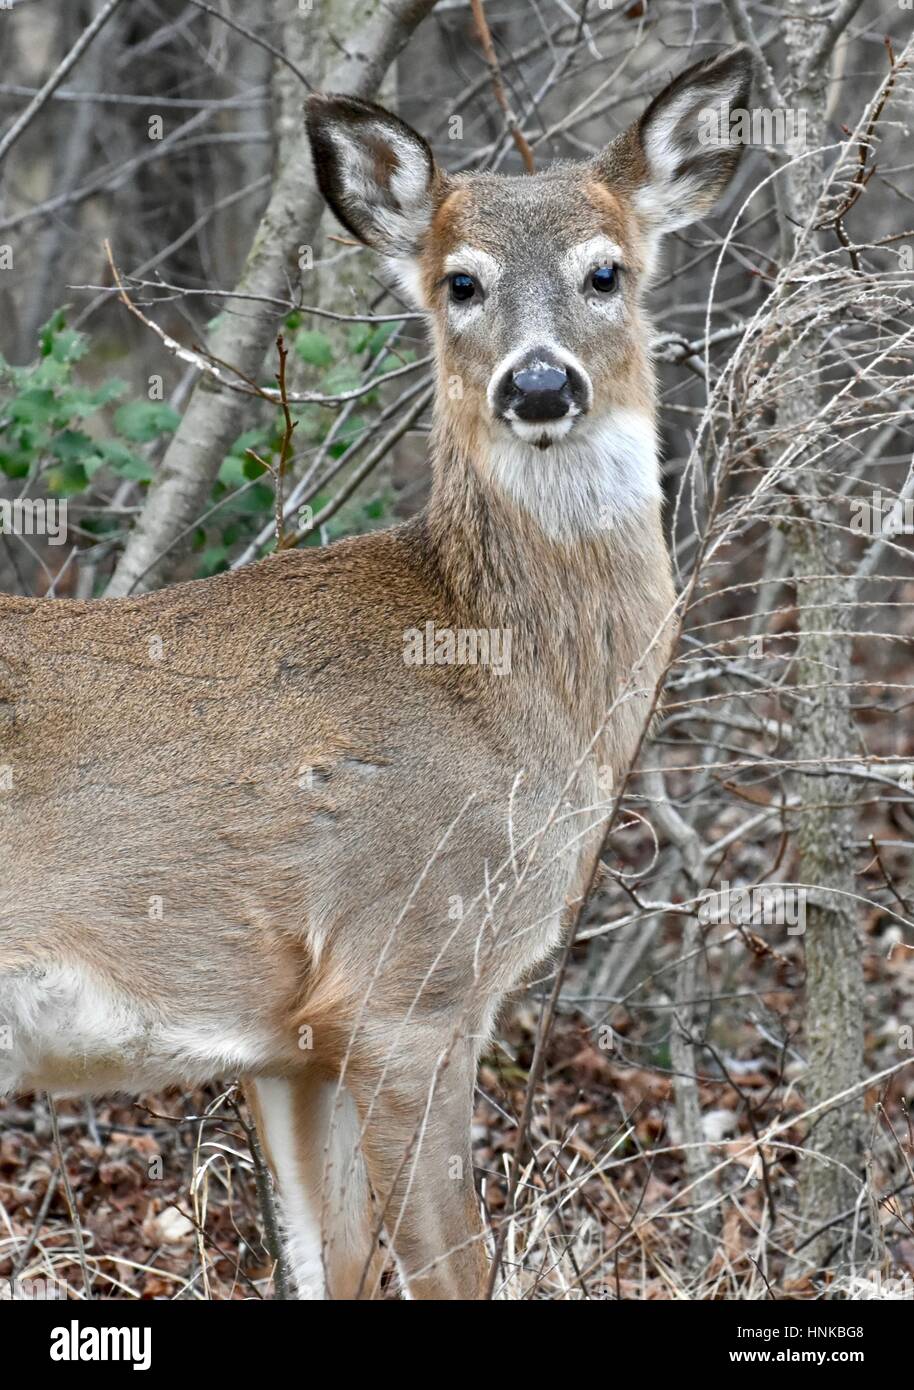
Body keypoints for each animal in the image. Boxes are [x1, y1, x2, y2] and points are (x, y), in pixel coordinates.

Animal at [0, 47, 753, 1300]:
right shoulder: (408, 974)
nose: (536, 386)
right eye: (459, 282)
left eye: (605, 272)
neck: (496, 682)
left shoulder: (294, 1039)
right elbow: (457, 1266)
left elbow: (330, 1265)